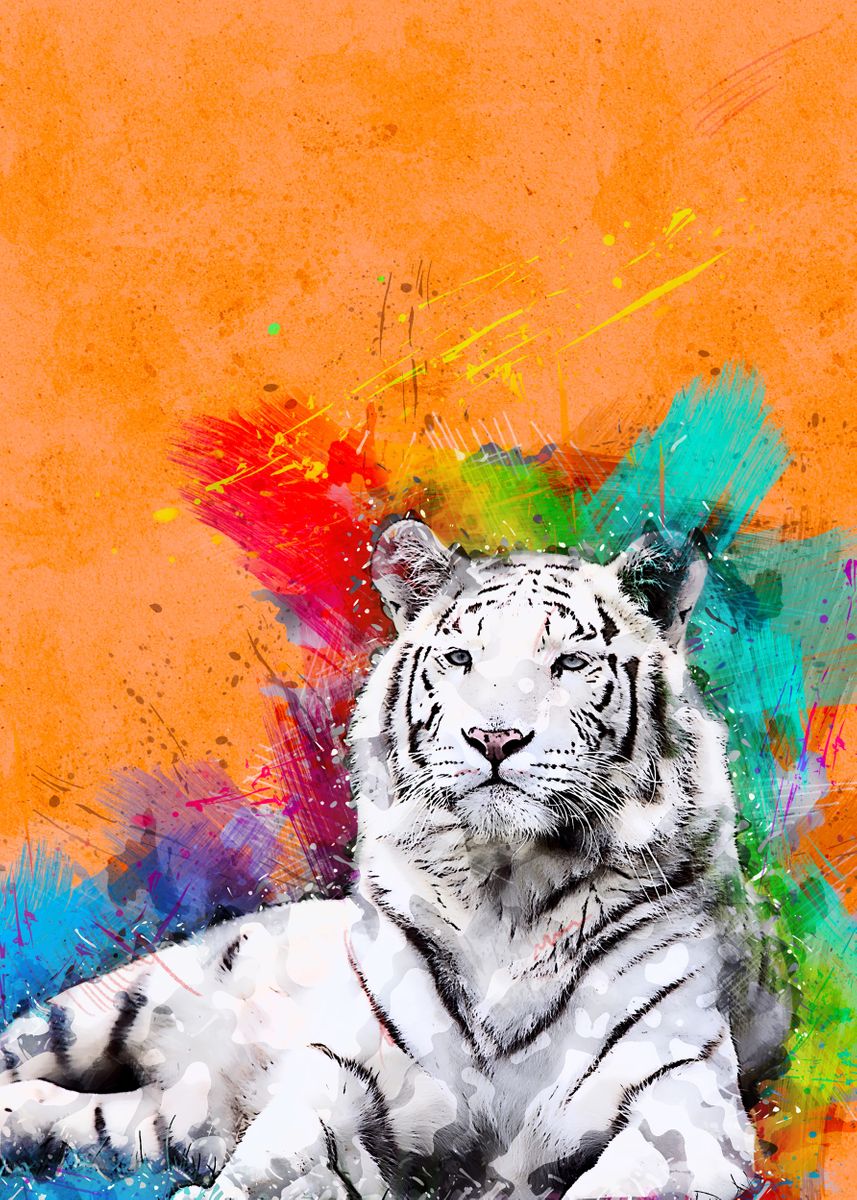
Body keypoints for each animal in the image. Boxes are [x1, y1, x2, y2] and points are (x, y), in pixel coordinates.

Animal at [0, 518, 788, 1200]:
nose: (493, 737)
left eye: (569, 663)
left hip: (139, 1117)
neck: (509, 890)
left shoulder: (681, 1101)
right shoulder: (344, 1068)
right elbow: (287, 1152)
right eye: (459, 657)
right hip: (115, 1000)